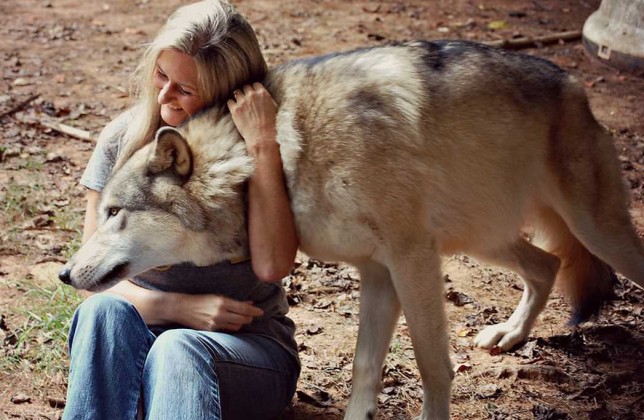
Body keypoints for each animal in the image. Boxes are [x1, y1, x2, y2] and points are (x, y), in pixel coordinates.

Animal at [60, 40, 644, 419]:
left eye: (115, 212)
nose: (65, 274)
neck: (277, 159)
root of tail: (573, 84)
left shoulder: (411, 257)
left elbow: (433, 366)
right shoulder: (378, 272)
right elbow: (365, 370)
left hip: (594, 231)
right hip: (483, 238)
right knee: (548, 263)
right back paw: (509, 335)